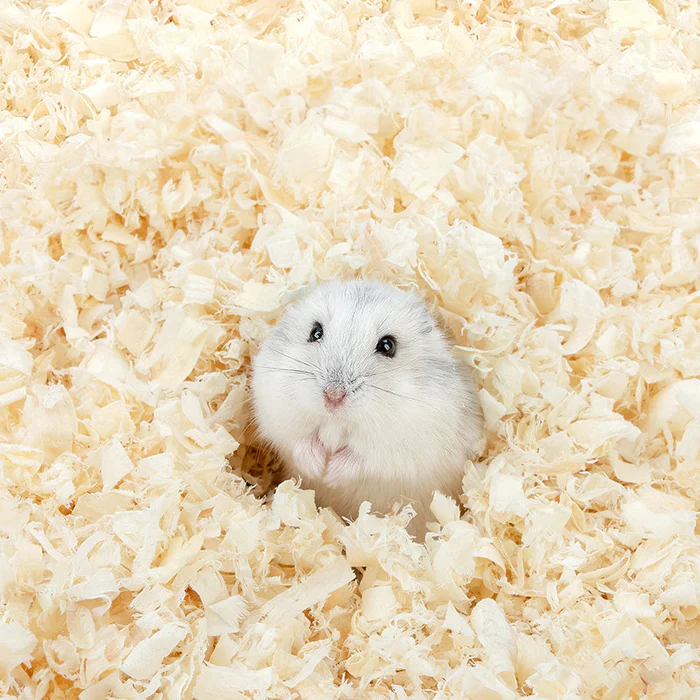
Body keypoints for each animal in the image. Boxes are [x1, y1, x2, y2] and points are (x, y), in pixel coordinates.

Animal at [250, 279, 485, 539]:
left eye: (387, 345)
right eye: (315, 332)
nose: (333, 396)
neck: (337, 422)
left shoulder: (401, 447)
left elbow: (363, 458)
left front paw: (330, 475)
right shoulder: (276, 413)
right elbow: (299, 442)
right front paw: (319, 468)